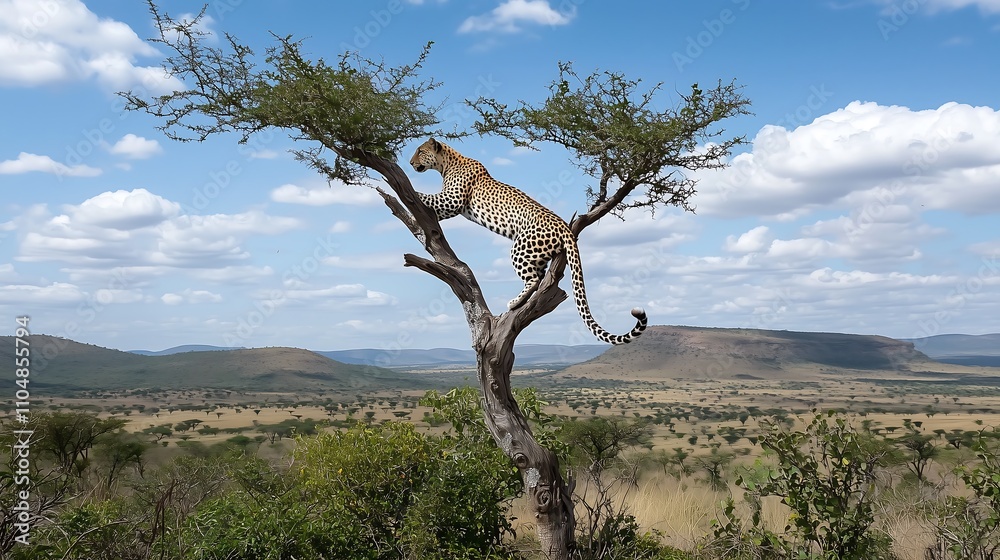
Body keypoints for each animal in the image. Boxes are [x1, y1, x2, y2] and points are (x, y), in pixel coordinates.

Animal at [409, 137, 647, 345]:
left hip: (520, 248)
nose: (411, 163)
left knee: (533, 280)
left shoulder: (452, 201)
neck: (447, 163)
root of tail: (565, 227)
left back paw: (515, 302)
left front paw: (408, 193)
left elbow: (427, 197)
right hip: (536, 253)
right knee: (540, 277)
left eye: (420, 151)